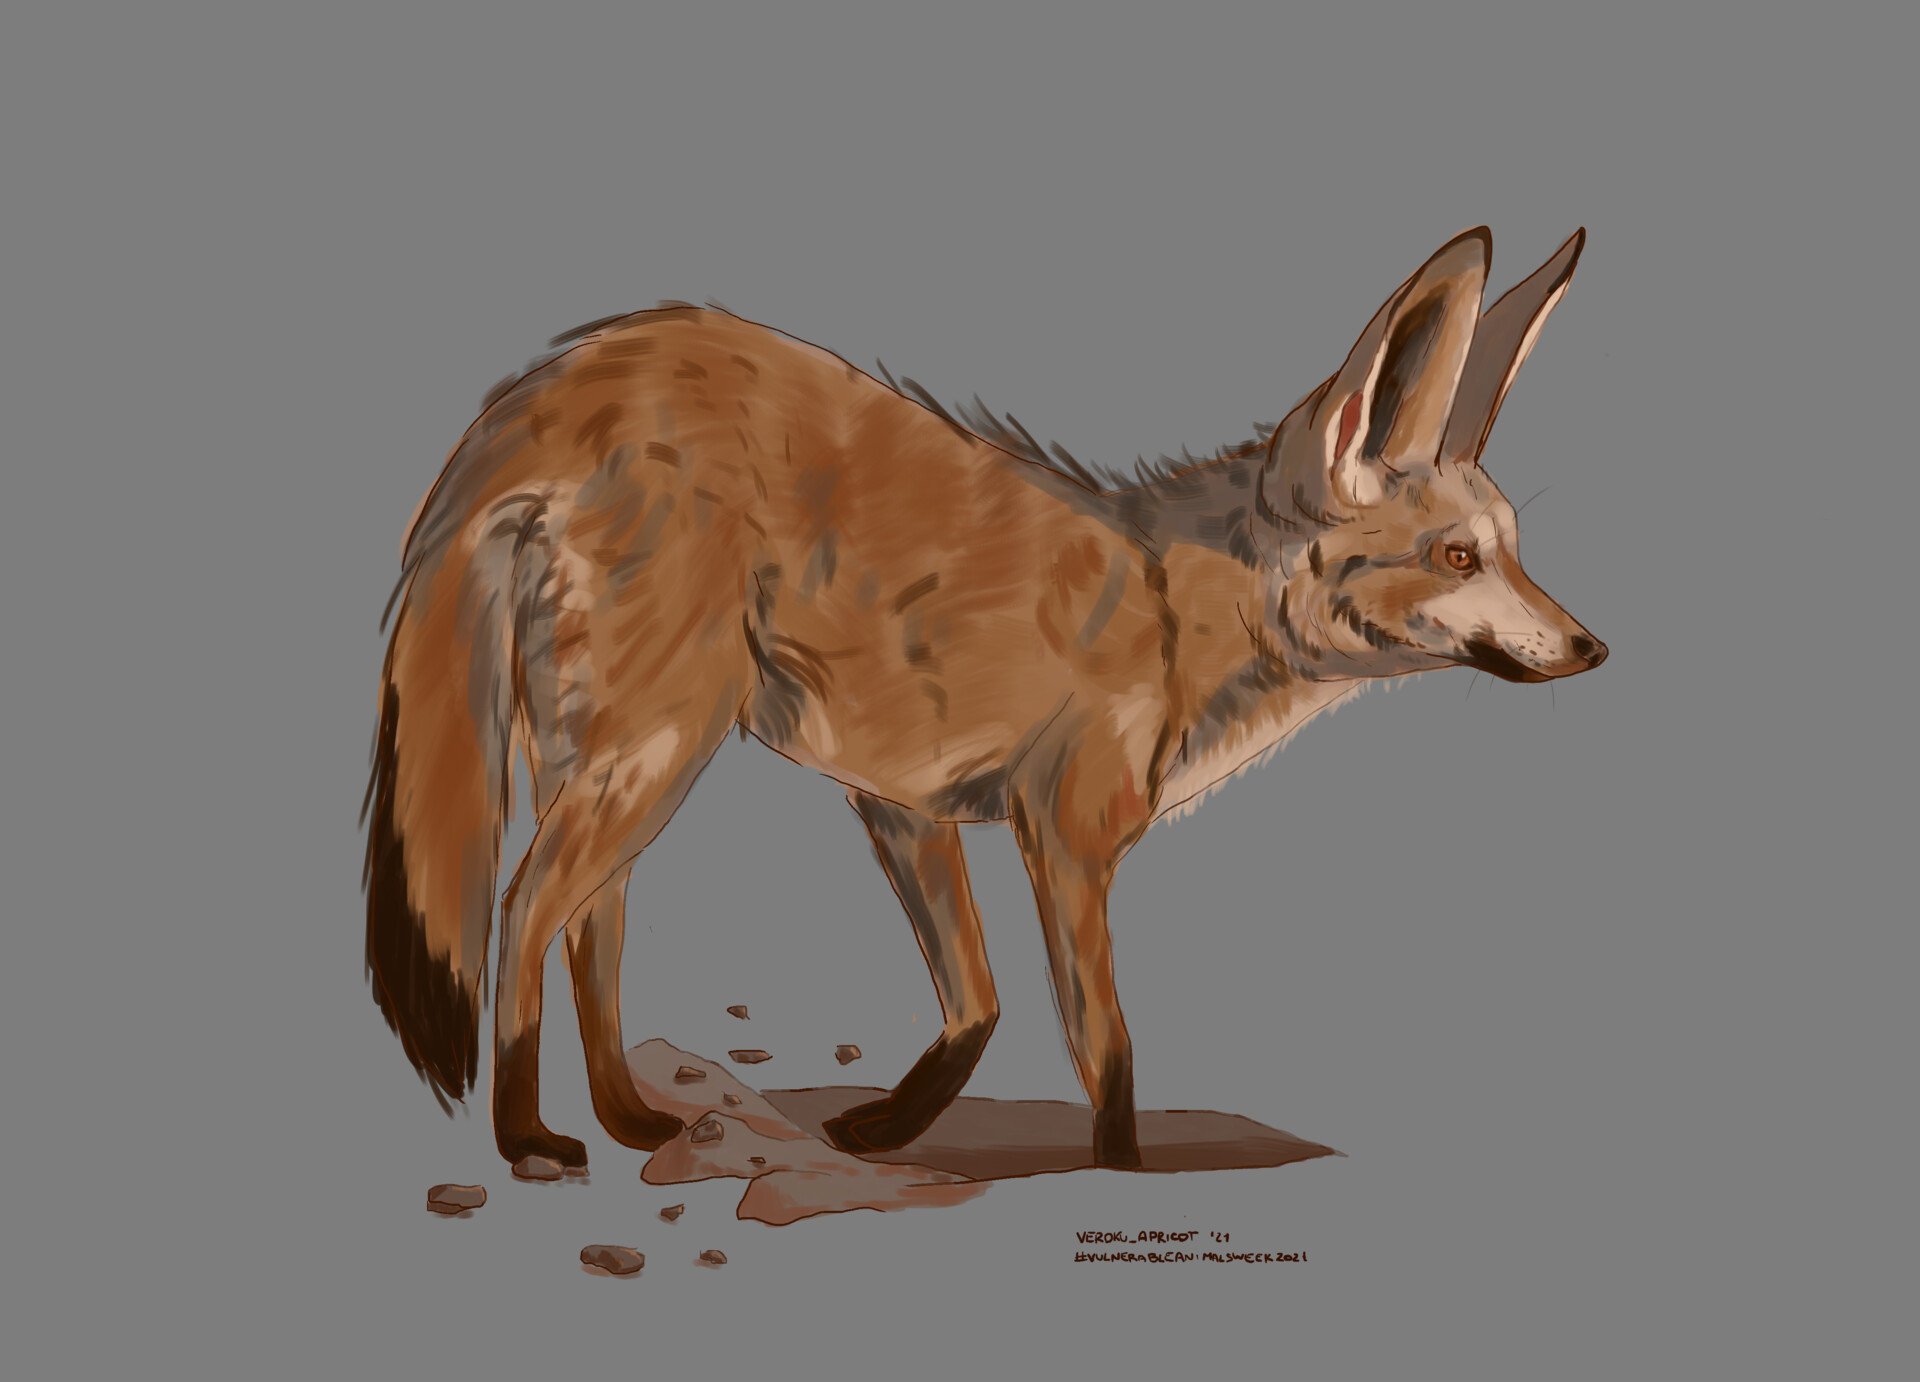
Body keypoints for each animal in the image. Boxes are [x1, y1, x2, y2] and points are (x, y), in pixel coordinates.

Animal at [363, 225, 1607, 1172]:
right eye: (1457, 558)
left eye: (1511, 551)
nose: (1595, 647)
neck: (1178, 611)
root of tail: (566, 372)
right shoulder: (1064, 837)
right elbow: (1104, 1048)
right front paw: (1120, 1174)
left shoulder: (907, 803)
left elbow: (979, 1005)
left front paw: (883, 1130)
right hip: (657, 747)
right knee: (523, 906)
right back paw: (527, 1137)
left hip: (619, 758)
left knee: (590, 923)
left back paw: (625, 1117)